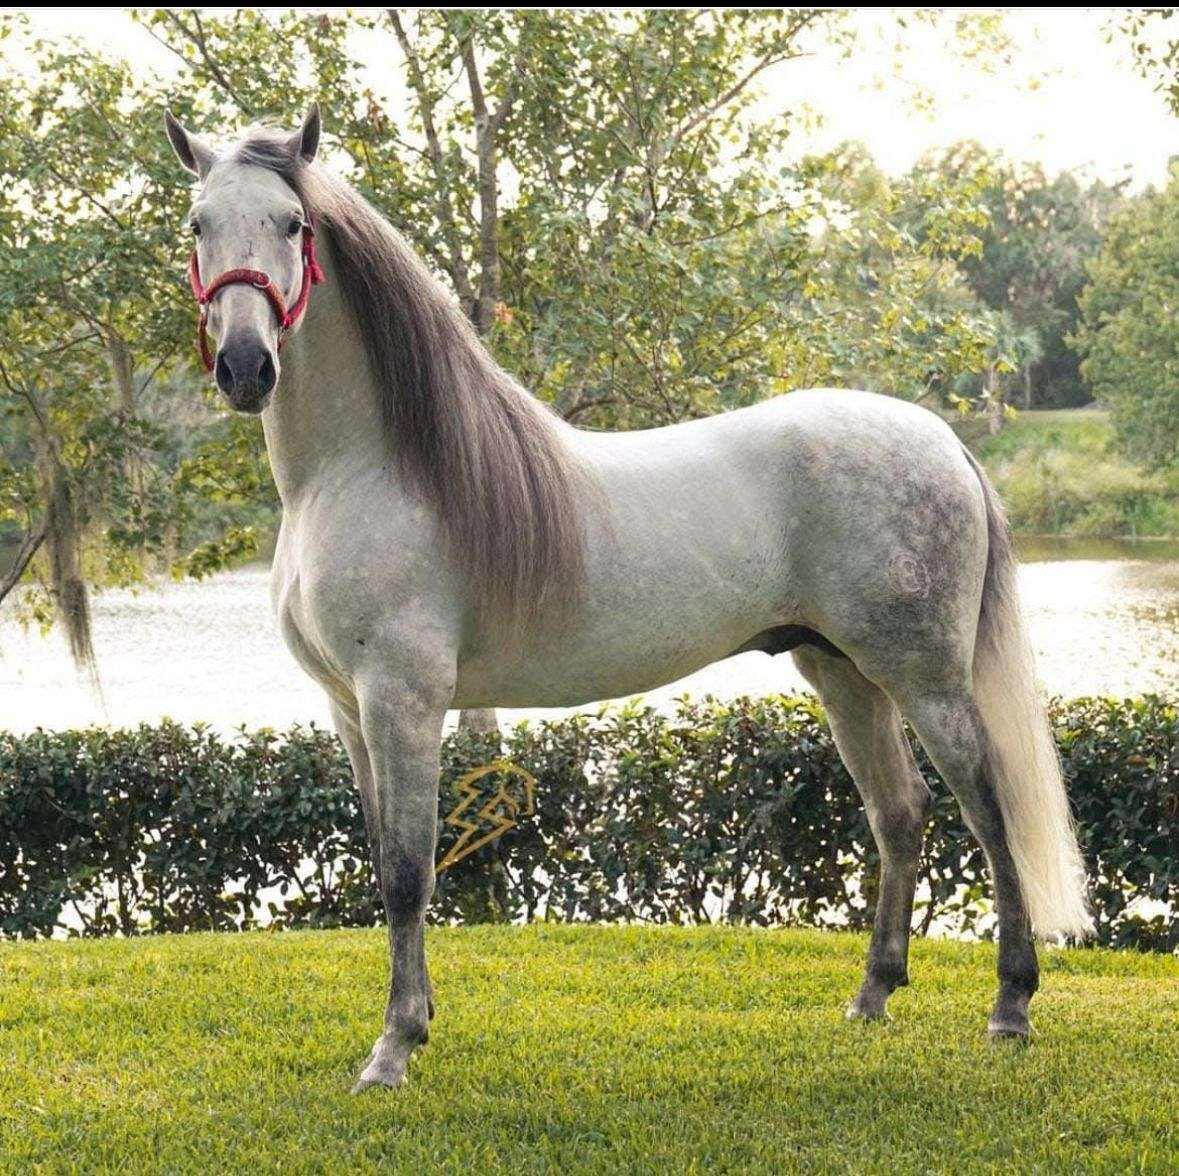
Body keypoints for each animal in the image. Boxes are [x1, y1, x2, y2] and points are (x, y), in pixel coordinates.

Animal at [164, 105, 1091, 1092]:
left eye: (294, 224)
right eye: (198, 225)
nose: (245, 368)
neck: (364, 469)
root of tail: (945, 443)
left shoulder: (402, 700)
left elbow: (411, 871)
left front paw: (393, 1048)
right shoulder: (348, 709)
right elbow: (385, 862)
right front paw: (415, 1021)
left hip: (923, 676)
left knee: (985, 807)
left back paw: (1010, 1005)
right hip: (839, 671)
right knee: (898, 810)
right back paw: (872, 993)